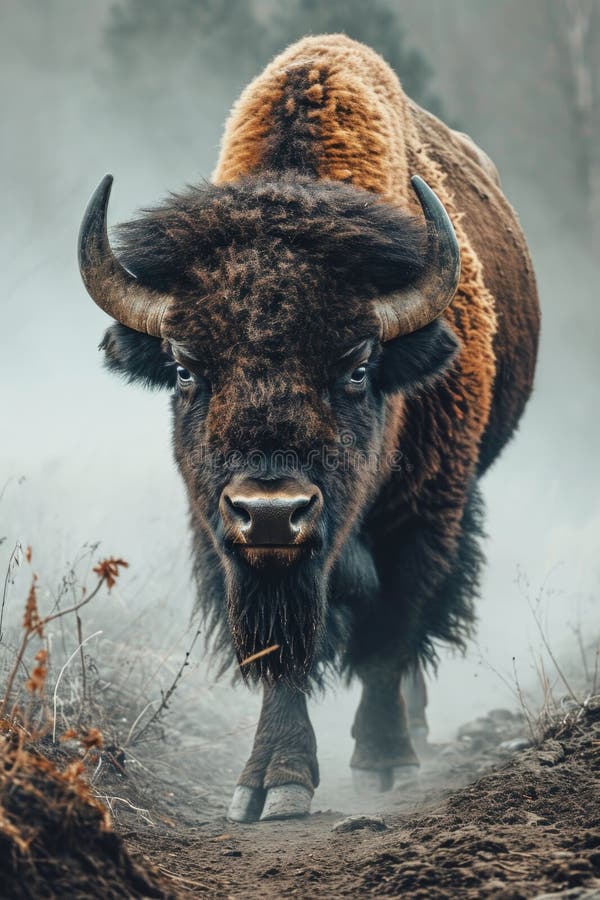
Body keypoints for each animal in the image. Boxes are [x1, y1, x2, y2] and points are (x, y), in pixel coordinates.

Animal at [78, 35, 540, 821]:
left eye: (357, 367)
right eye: (185, 368)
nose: (271, 513)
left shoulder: (424, 515)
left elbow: (390, 633)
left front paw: (382, 760)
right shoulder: (229, 545)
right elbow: (279, 651)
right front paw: (271, 783)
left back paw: (412, 735)